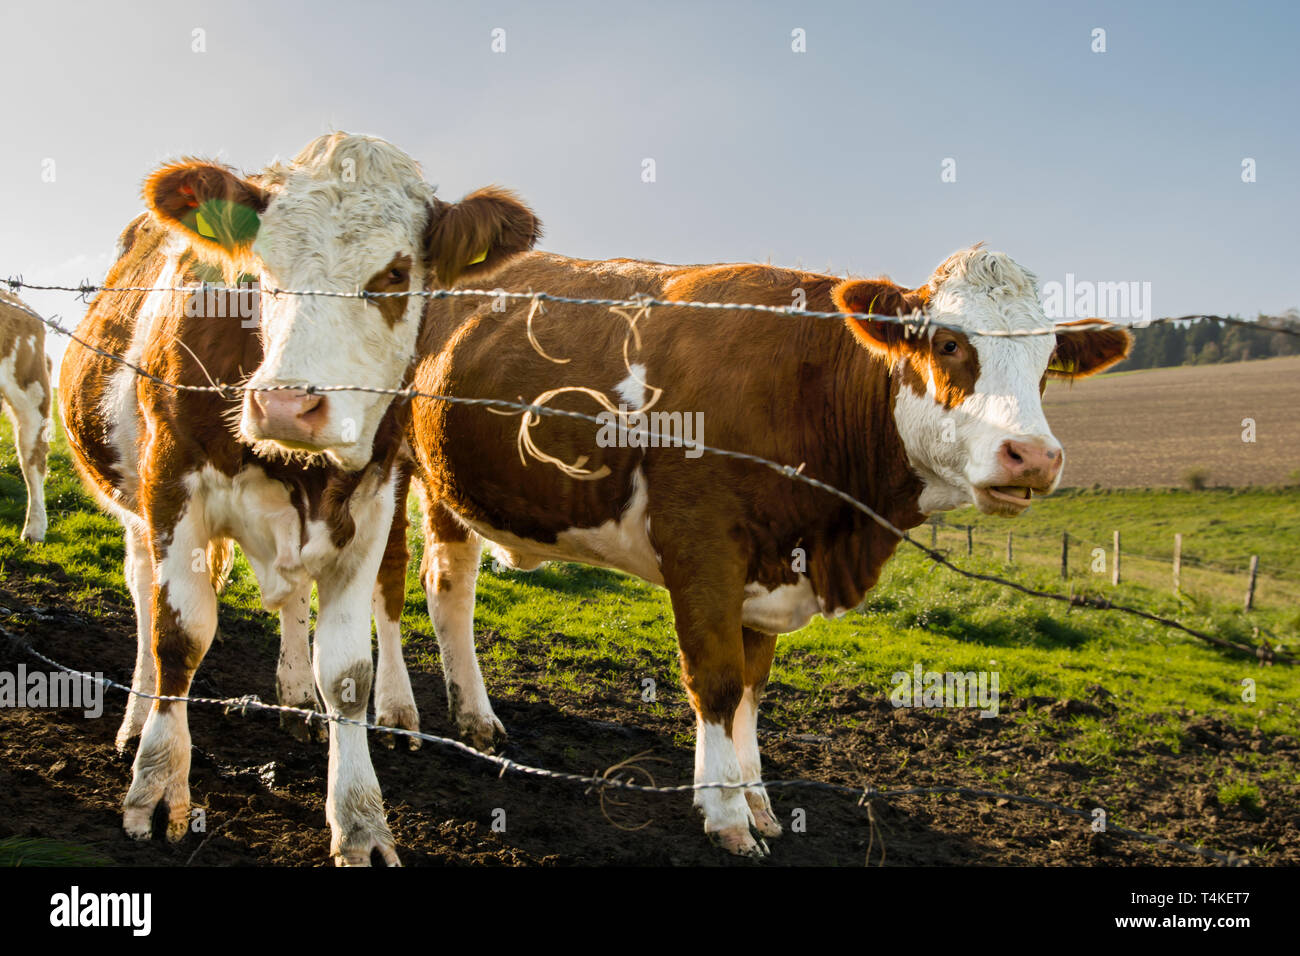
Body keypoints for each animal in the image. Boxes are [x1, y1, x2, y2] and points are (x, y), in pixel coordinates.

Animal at [59, 132, 540, 865]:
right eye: (263, 268)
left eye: (395, 273)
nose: (287, 405)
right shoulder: (172, 485)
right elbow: (179, 635)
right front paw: (158, 785)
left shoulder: (369, 506)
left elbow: (347, 673)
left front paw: (362, 821)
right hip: (135, 501)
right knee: (143, 594)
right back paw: (137, 719)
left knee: (297, 599)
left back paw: (299, 697)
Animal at [407, 246, 1131, 857]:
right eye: (950, 343)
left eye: (1047, 365)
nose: (1033, 457)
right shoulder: (700, 545)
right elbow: (717, 681)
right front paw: (726, 818)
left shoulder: (773, 570)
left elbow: (751, 691)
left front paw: (753, 800)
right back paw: (394, 712)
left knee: (447, 587)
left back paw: (471, 716)